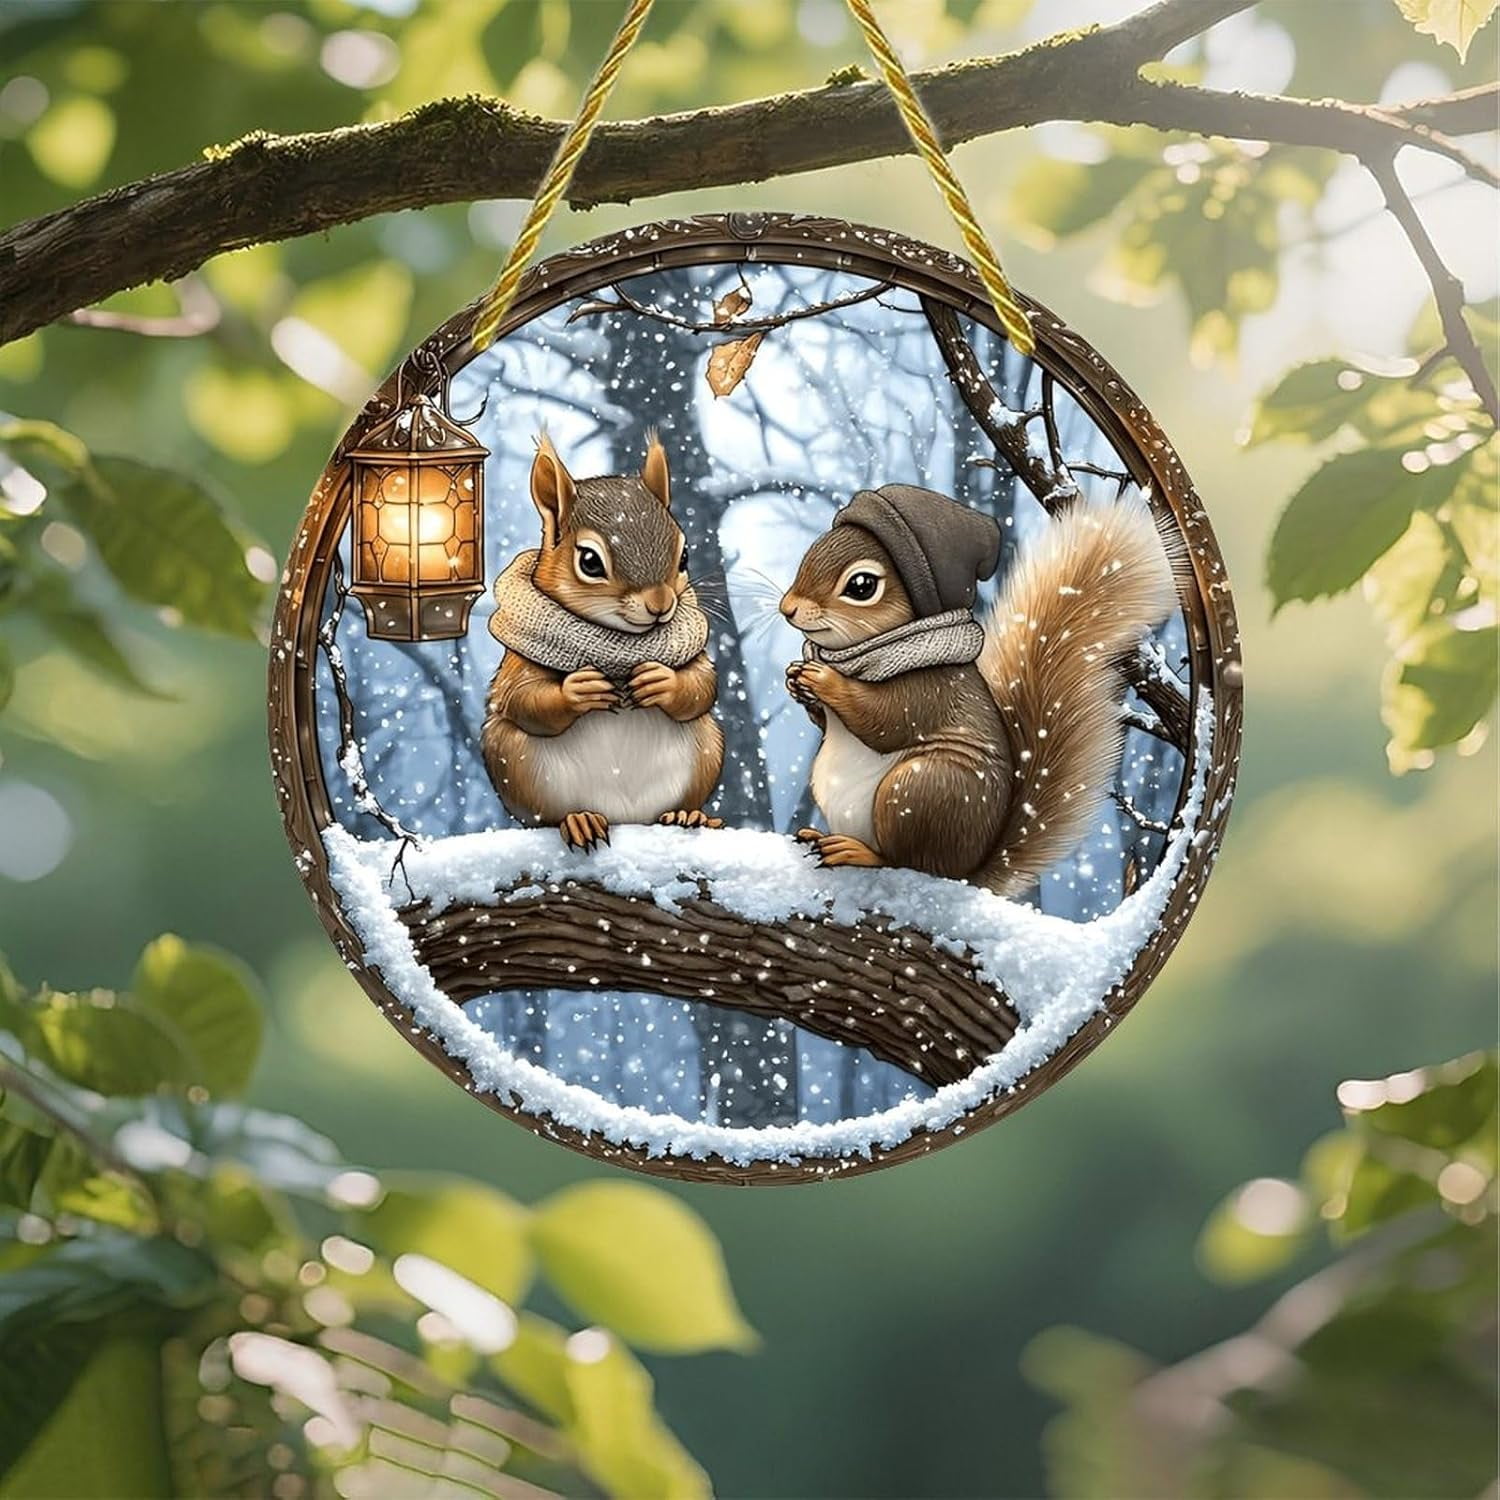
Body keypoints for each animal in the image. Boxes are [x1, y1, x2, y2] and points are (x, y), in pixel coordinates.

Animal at [480, 433, 724, 852]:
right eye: (590, 562)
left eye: (685, 555)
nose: (660, 604)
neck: (624, 646)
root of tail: (627, 815)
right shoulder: (517, 663)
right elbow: (520, 698)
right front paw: (579, 689)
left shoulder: (697, 658)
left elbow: (702, 686)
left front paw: (661, 681)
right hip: (513, 759)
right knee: (548, 815)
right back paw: (579, 819)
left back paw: (686, 815)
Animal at [780, 484, 1177, 896]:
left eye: (861, 586)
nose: (787, 608)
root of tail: (968, 870)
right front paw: (795, 680)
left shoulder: (932, 687)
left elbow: (885, 721)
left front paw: (823, 679)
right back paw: (817, 835)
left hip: (920, 789)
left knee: (907, 860)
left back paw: (855, 852)